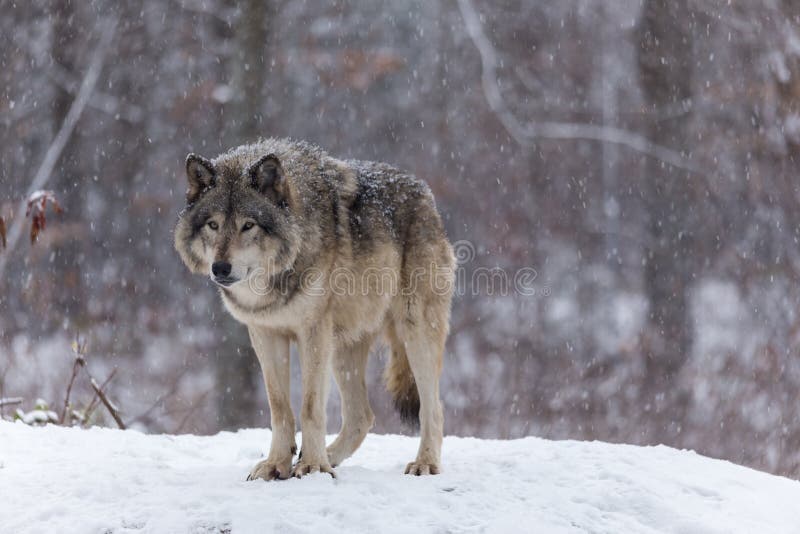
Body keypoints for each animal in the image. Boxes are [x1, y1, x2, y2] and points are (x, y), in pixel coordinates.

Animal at [174, 138, 454, 479]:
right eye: (213, 225)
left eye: (248, 225)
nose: (220, 268)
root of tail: (425, 194)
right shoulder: (265, 333)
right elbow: (280, 407)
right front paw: (278, 464)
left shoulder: (313, 332)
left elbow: (309, 406)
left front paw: (313, 467)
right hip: (344, 348)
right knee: (362, 416)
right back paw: (327, 456)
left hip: (414, 332)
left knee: (433, 408)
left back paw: (424, 463)